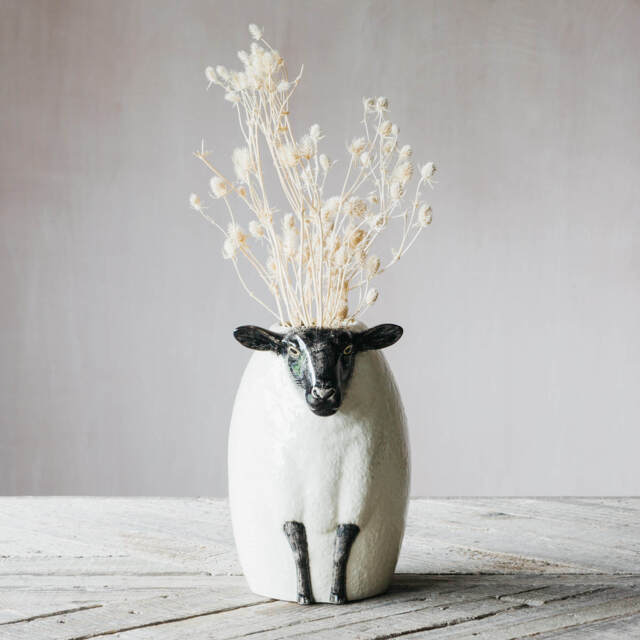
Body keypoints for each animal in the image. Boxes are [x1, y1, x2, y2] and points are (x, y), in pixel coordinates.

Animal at [228, 323, 409, 604]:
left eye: (348, 349)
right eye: (292, 349)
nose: (323, 395)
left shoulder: (359, 490)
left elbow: (343, 544)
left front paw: (337, 594)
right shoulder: (285, 492)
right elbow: (298, 545)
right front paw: (304, 595)